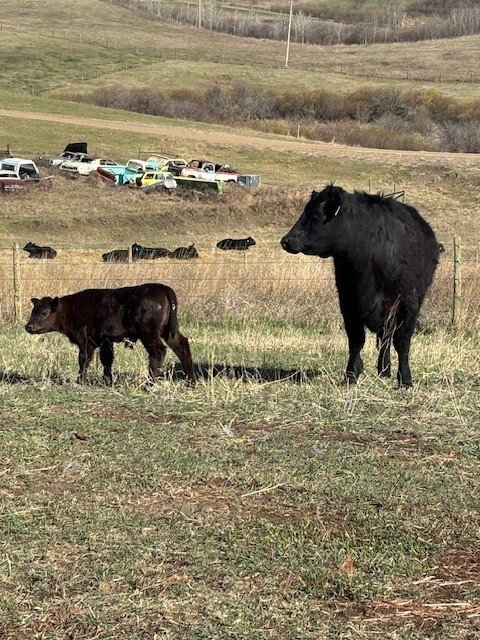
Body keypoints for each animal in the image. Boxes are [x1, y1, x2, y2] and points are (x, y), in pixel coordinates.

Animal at [25, 283, 196, 386]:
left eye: (44, 312)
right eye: (33, 311)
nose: (28, 326)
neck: (70, 309)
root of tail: (160, 287)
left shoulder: (86, 342)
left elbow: (84, 360)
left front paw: (80, 381)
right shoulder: (105, 341)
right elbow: (107, 360)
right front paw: (108, 381)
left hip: (149, 333)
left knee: (158, 351)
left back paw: (148, 385)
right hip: (168, 332)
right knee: (181, 345)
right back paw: (191, 381)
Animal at [281, 184, 440, 387]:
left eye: (317, 212)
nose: (286, 240)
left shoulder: (409, 303)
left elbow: (402, 341)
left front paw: (405, 380)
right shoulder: (348, 301)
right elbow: (356, 340)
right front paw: (350, 374)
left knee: (388, 336)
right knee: (384, 336)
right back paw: (384, 369)